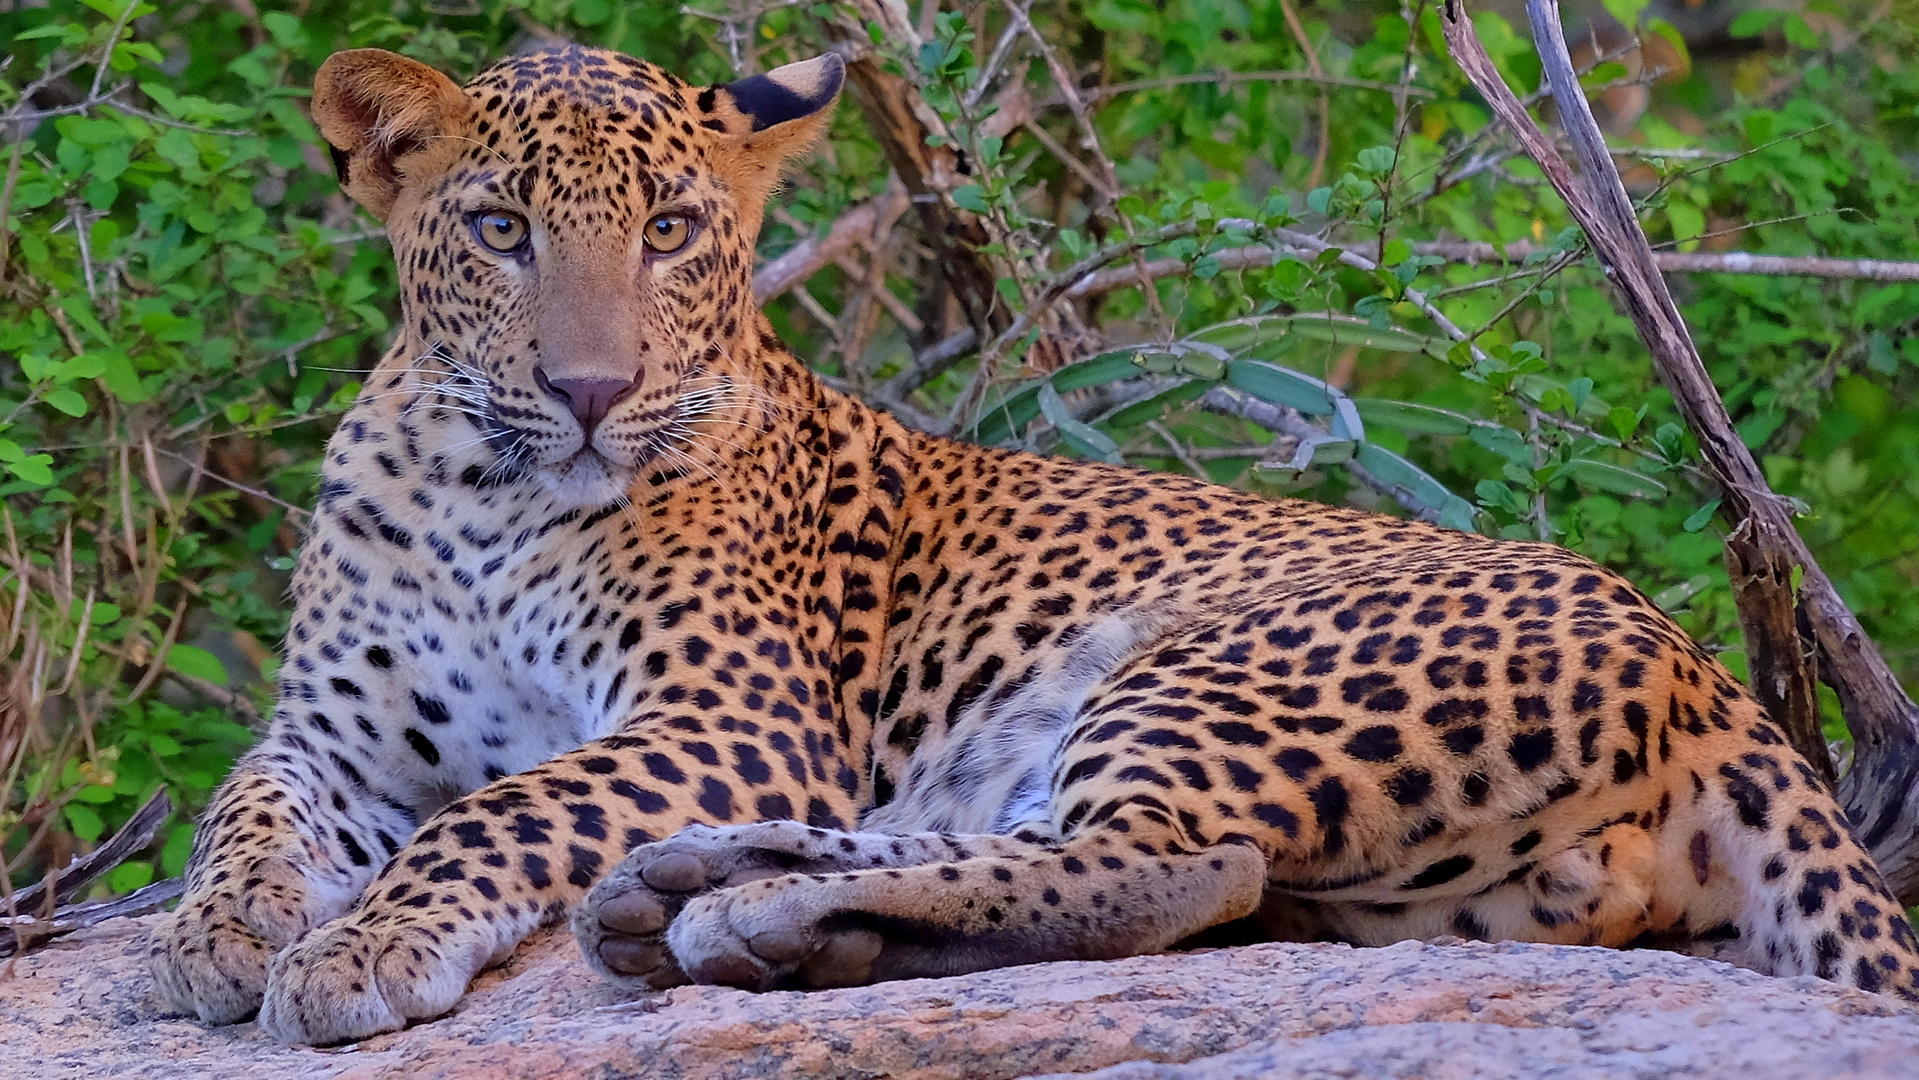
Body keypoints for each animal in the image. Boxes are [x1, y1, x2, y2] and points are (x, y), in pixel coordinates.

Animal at [146, 41, 1919, 1046]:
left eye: (669, 231)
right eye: (501, 231)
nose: (593, 394)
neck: (483, 489)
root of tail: (1711, 678)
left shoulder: (727, 720)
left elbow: (501, 809)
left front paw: (360, 946)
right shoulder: (332, 735)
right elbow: (244, 809)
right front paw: (209, 936)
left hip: (1209, 661)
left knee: (1172, 860)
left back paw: (740, 918)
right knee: (1122, 862)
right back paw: (708, 894)